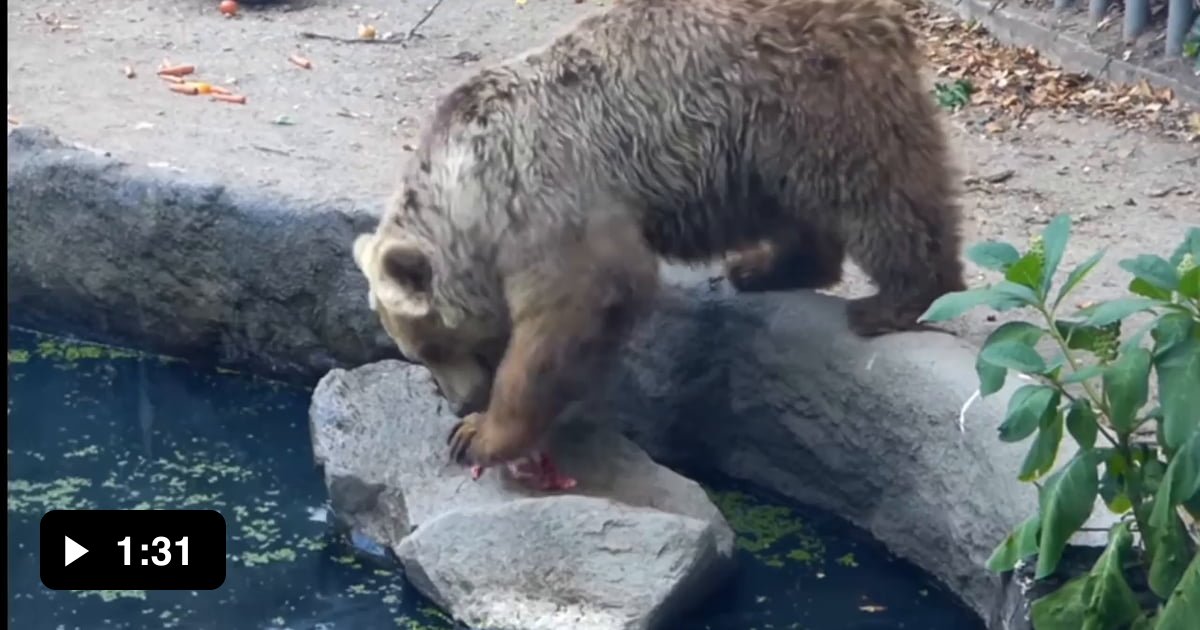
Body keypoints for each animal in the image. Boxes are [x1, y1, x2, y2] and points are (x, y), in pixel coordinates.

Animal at [352, 0, 967, 487]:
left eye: (431, 346)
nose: (456, 398)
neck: (469, 195)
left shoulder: (546, 199)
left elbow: (579, 303)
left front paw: (479, 434)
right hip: (760, 144)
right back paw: (764, 266)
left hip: (814, 92)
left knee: (881, 188)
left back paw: (897, 299)